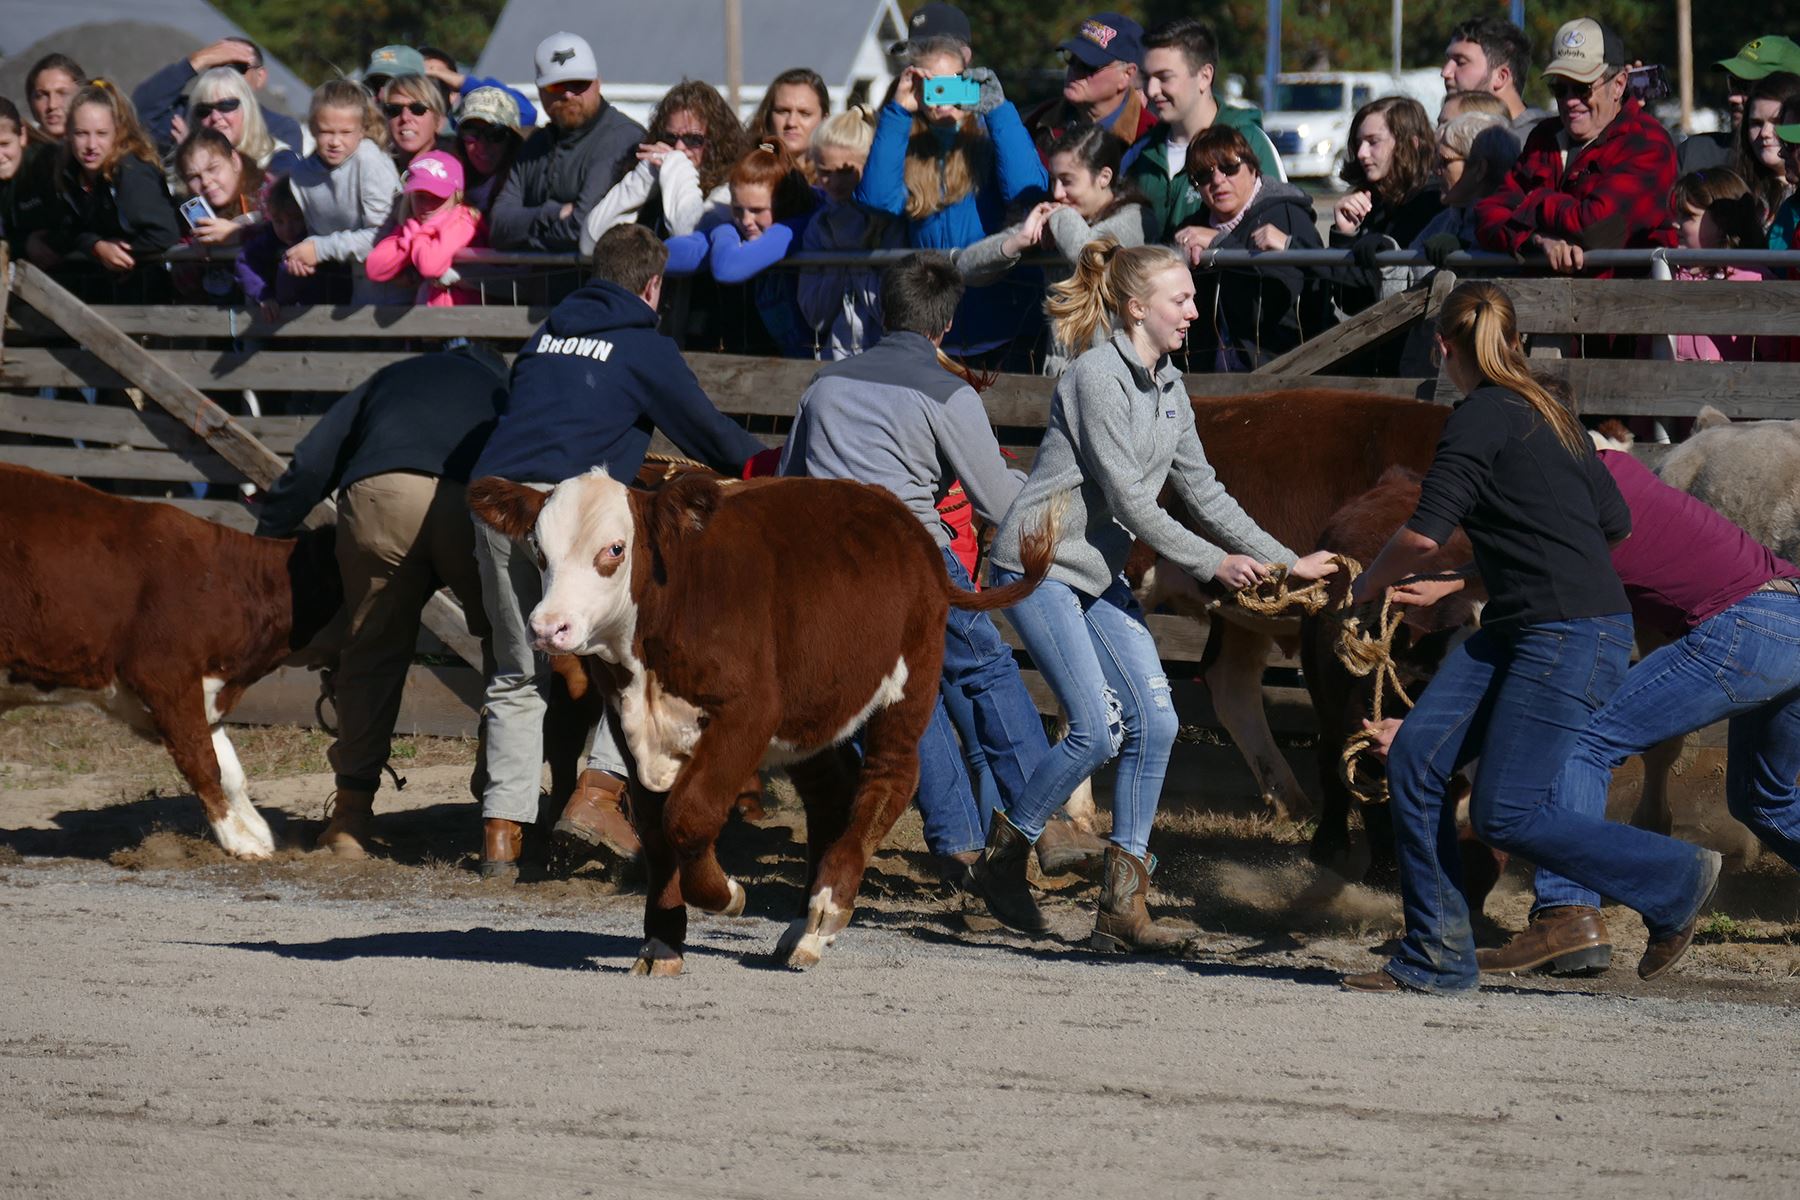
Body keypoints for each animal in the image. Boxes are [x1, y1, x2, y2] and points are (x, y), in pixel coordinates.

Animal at [0, 465, 342, 857]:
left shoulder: (204, 690)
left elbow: (231, 771)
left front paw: (260, 832)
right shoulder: (165, 678)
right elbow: (203, 763)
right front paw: (239, 840)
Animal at [468, 468, 1053, 974]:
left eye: (614, 549)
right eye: (539, 551)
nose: (549, 627)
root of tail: (904, 523)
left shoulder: (748, 715)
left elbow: (689, 816)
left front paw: (725, 895)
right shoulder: (627, 723)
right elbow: (656, 833)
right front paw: (661, 943)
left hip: (908, 687)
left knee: (890, 779)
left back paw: (827, 912)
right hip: (811, 713)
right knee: (829, 797)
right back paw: (802, 926)